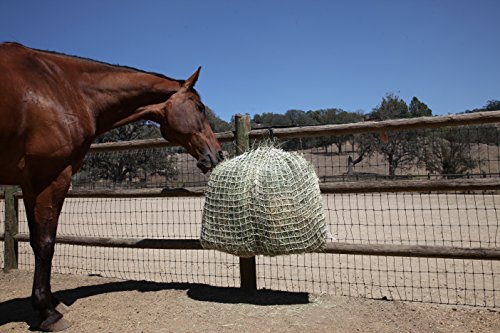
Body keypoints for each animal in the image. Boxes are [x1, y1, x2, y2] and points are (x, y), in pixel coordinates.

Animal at [0, 42, 223, 330]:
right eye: (200, 107)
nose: (217, 154)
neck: (63, 87)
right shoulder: (51, 178)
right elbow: (45, 243)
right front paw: (47, 312)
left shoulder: (31, 184)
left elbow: (38, 241)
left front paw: (51, 302)